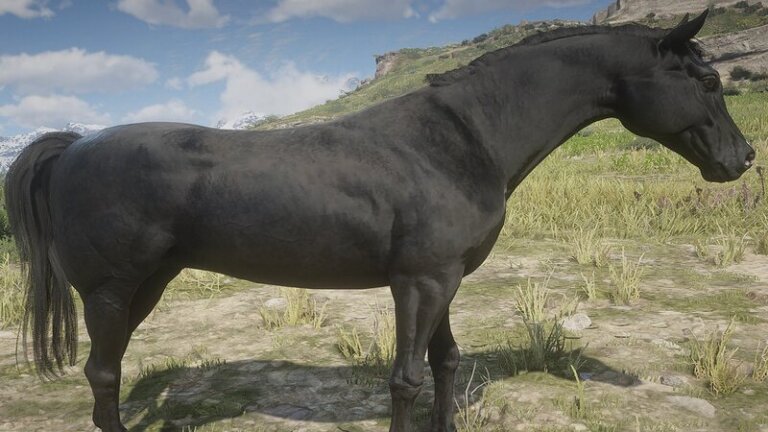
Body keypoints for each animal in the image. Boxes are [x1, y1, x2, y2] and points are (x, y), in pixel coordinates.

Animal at [5, 10, 755, 432]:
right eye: (706, 80)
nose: (742, 158)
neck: (461, 138)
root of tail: (75, 145)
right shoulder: (418, 283)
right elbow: (406, 378)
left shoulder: (443, 280)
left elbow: (445, 364)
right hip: (110, 292)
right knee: (103, 375)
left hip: (145, 287)